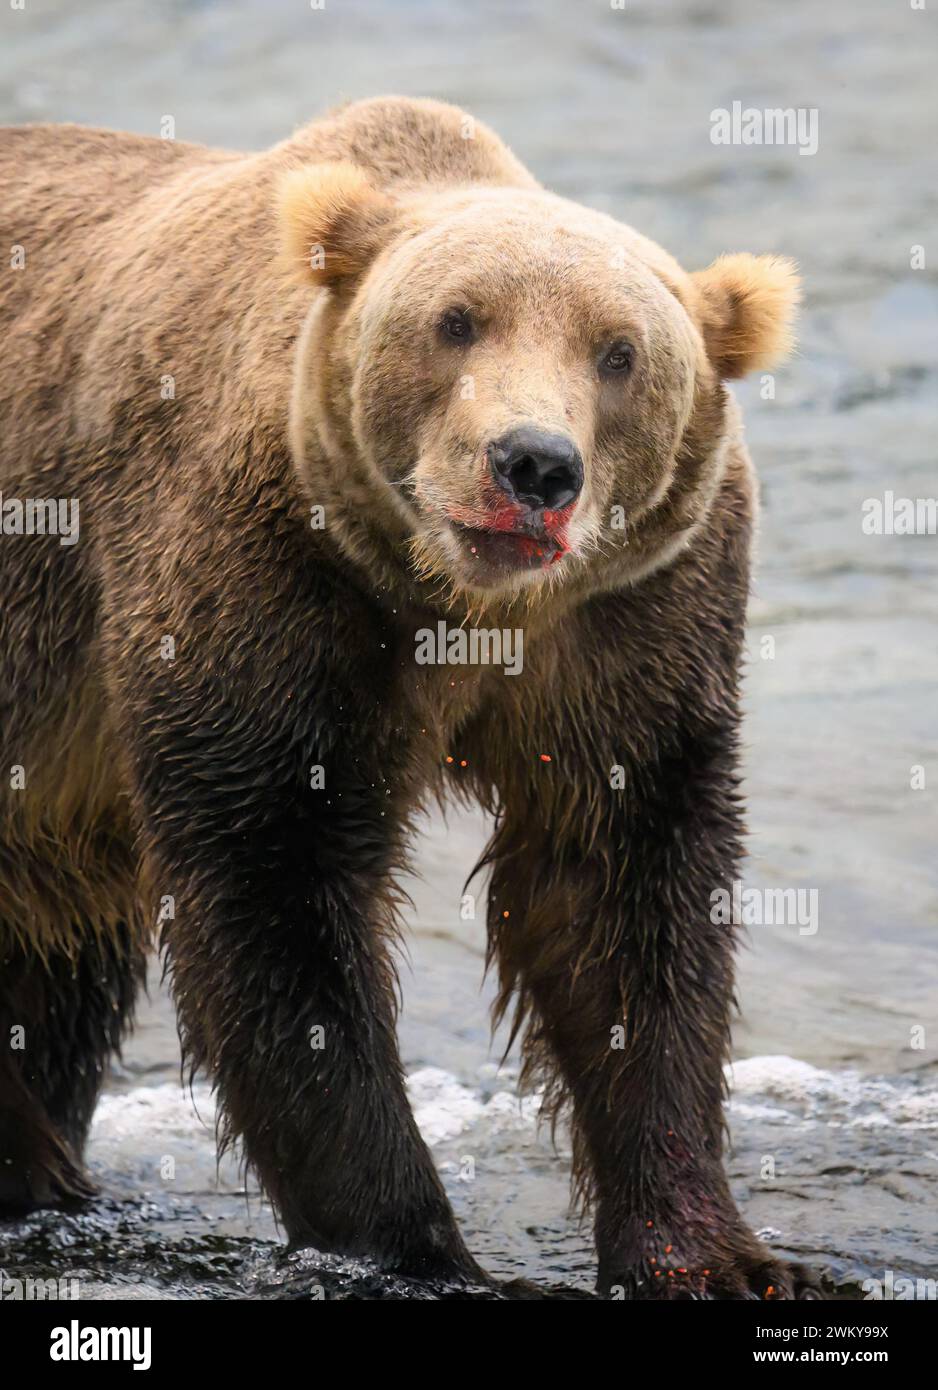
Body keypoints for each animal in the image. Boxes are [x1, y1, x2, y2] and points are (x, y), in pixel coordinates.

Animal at [0, 96, 808, 1297]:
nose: (532, 465)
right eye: (456, 320)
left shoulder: (631, 624)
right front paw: (421, 1245)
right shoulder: (265, 574)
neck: (458, 600)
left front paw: (711, 1251)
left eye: (618, 351)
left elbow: (622, 894)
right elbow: (280, 894)